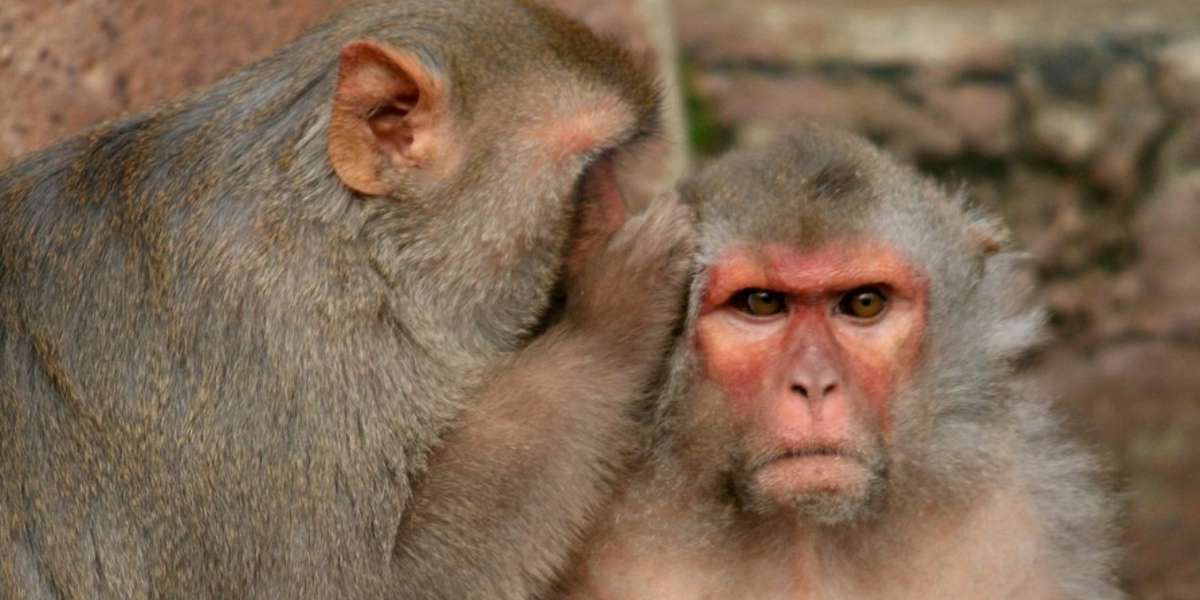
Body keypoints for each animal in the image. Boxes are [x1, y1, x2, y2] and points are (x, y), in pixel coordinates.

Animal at [0, 1, 695, 598]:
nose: (621, 213)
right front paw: (610, 317)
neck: (357, 252)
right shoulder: (275, 363)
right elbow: (353, 586)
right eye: (594, 172)